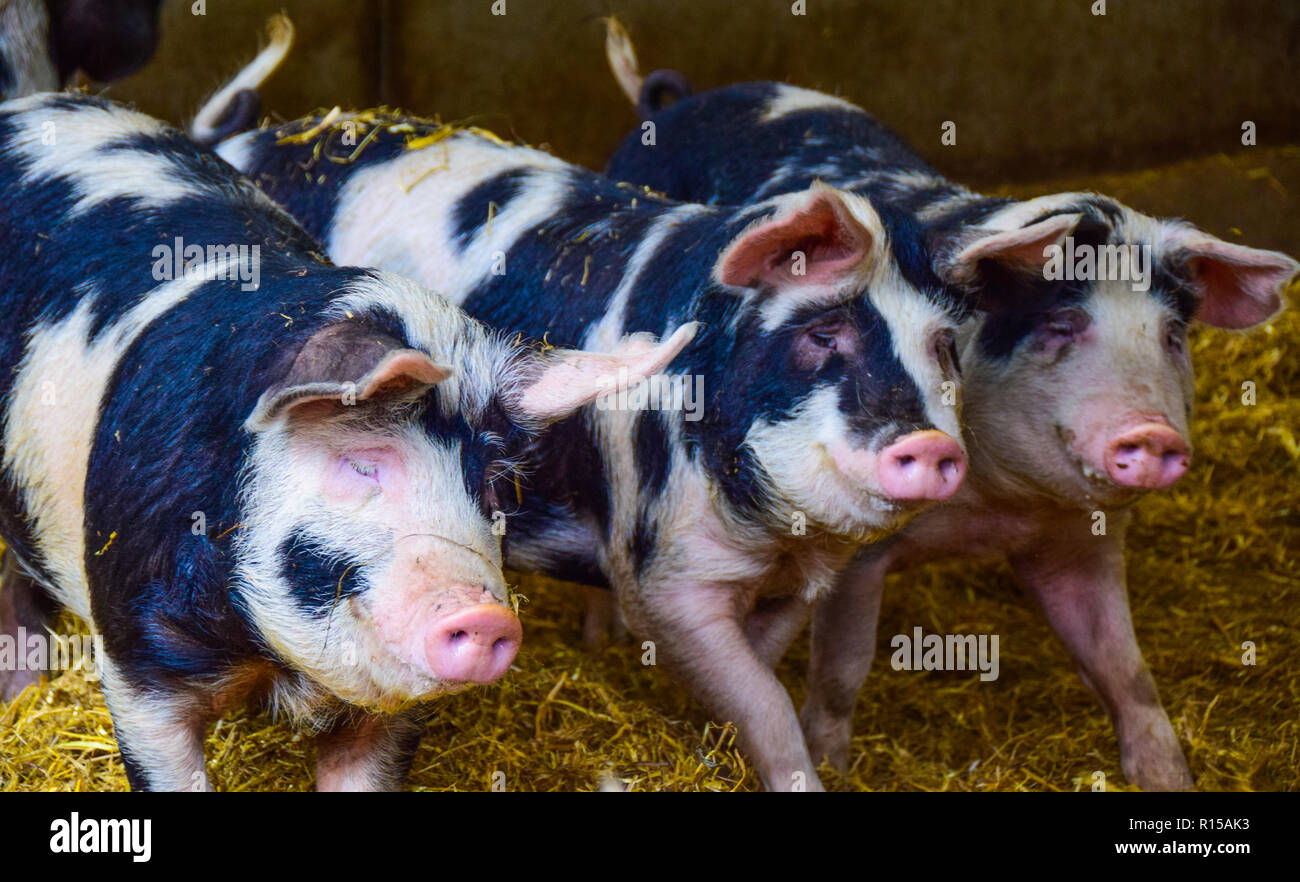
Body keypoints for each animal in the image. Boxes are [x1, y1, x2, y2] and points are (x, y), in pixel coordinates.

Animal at [0, 91, 693, 790]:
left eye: (492, 484)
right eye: (361, 465)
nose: (484, 616)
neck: (265, 657)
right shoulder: (139, 665)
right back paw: (20, 692)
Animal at [190, 36, 1021, 790]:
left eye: (943, 346)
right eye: (824, 334)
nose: (932, 447)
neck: (777, 531)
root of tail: (237, 140)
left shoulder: (794, 577)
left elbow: (760, 673)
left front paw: (708, 741)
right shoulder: (664, 568)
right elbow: (763, 701)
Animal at [601, 30, 1300, 790]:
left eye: (1171, 335)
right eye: (1062, 324)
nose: (1149, 431)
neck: (999, 508)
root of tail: (674, 103)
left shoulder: (1079, 541)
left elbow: (1126, 668)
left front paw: (1169, 778)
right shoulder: (859, 547)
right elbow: (843, 668)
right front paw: (831, 762)